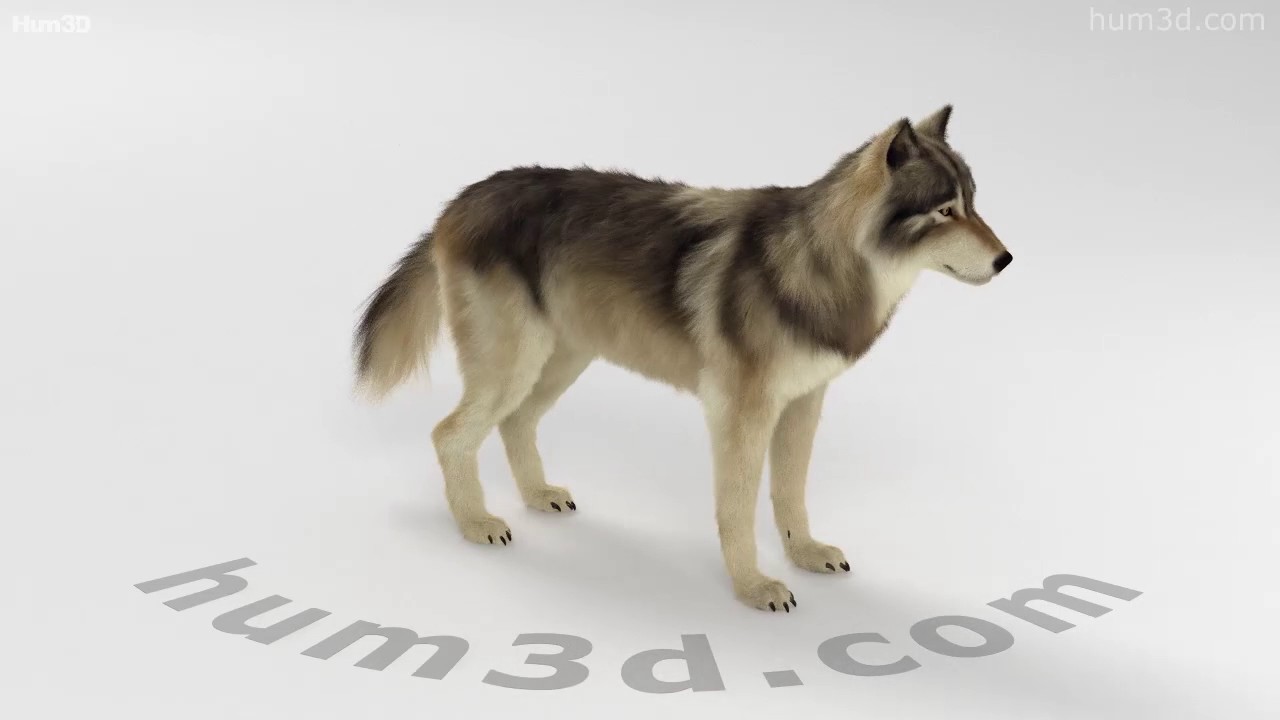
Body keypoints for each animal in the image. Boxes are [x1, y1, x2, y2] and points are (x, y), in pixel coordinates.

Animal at [354, 106, 1011, 612]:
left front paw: (804, 554)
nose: (1006, 259)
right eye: (945, 210)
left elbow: (790, 494)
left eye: (975, 203)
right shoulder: (742, 415)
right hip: (517, 364)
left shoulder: (803, 405)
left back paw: (539, 496)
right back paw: (476, 524)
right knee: (450, 434)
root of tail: (460, 200)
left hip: (562, 361)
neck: (817, 263)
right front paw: (753, 588)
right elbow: (738, 510)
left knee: (515, 423)